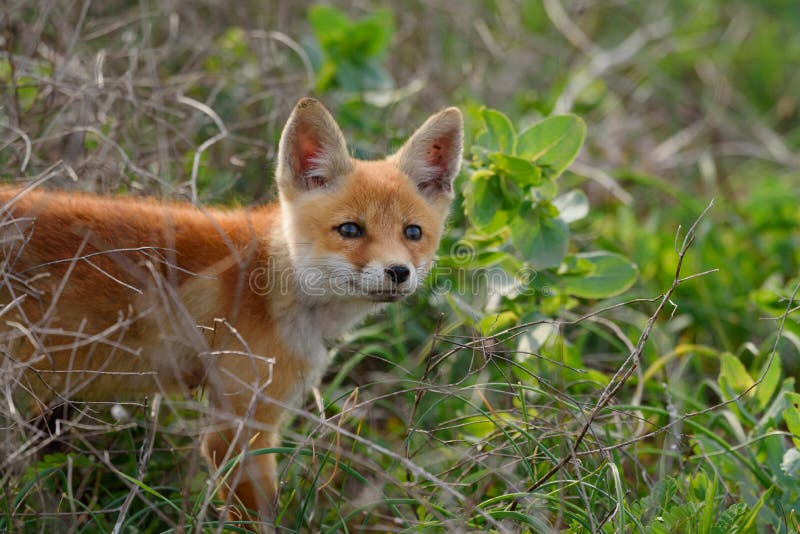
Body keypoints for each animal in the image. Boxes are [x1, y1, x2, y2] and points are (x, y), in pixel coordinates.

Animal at [0, 98, 463, 525]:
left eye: (412, 233)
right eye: (350, 229)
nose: (398, 272)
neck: (274, 282)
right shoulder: (237, 428)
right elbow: (258, 517)